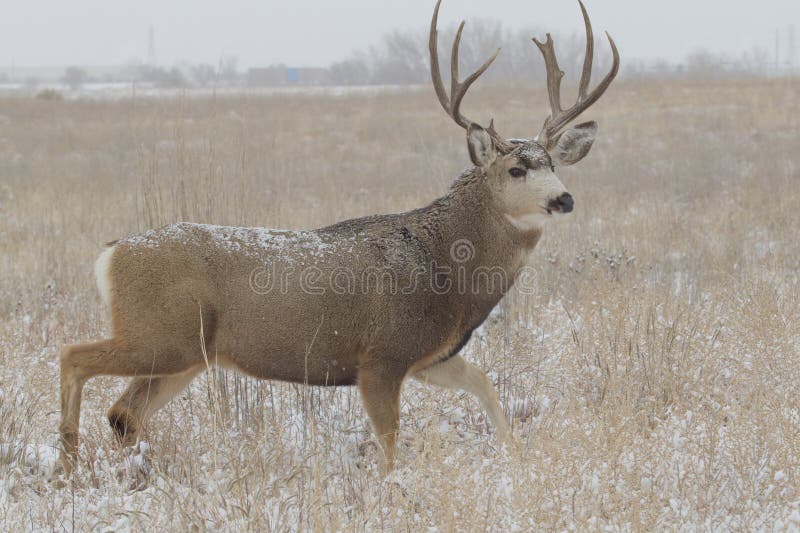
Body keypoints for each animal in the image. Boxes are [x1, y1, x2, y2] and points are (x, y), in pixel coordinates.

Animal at [58, 0, 619, 477]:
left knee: (123, 414)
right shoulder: (380, 356)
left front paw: (518, 458)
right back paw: (66, 459)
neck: (447, 267)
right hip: (159, 333)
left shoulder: (429, 357)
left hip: (188, 353)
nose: (564, 199)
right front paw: (392, 494)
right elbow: (389, 443)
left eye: (554, 164)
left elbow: (483, 383)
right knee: (73, 357)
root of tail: (111, 254)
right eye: (518, 169)